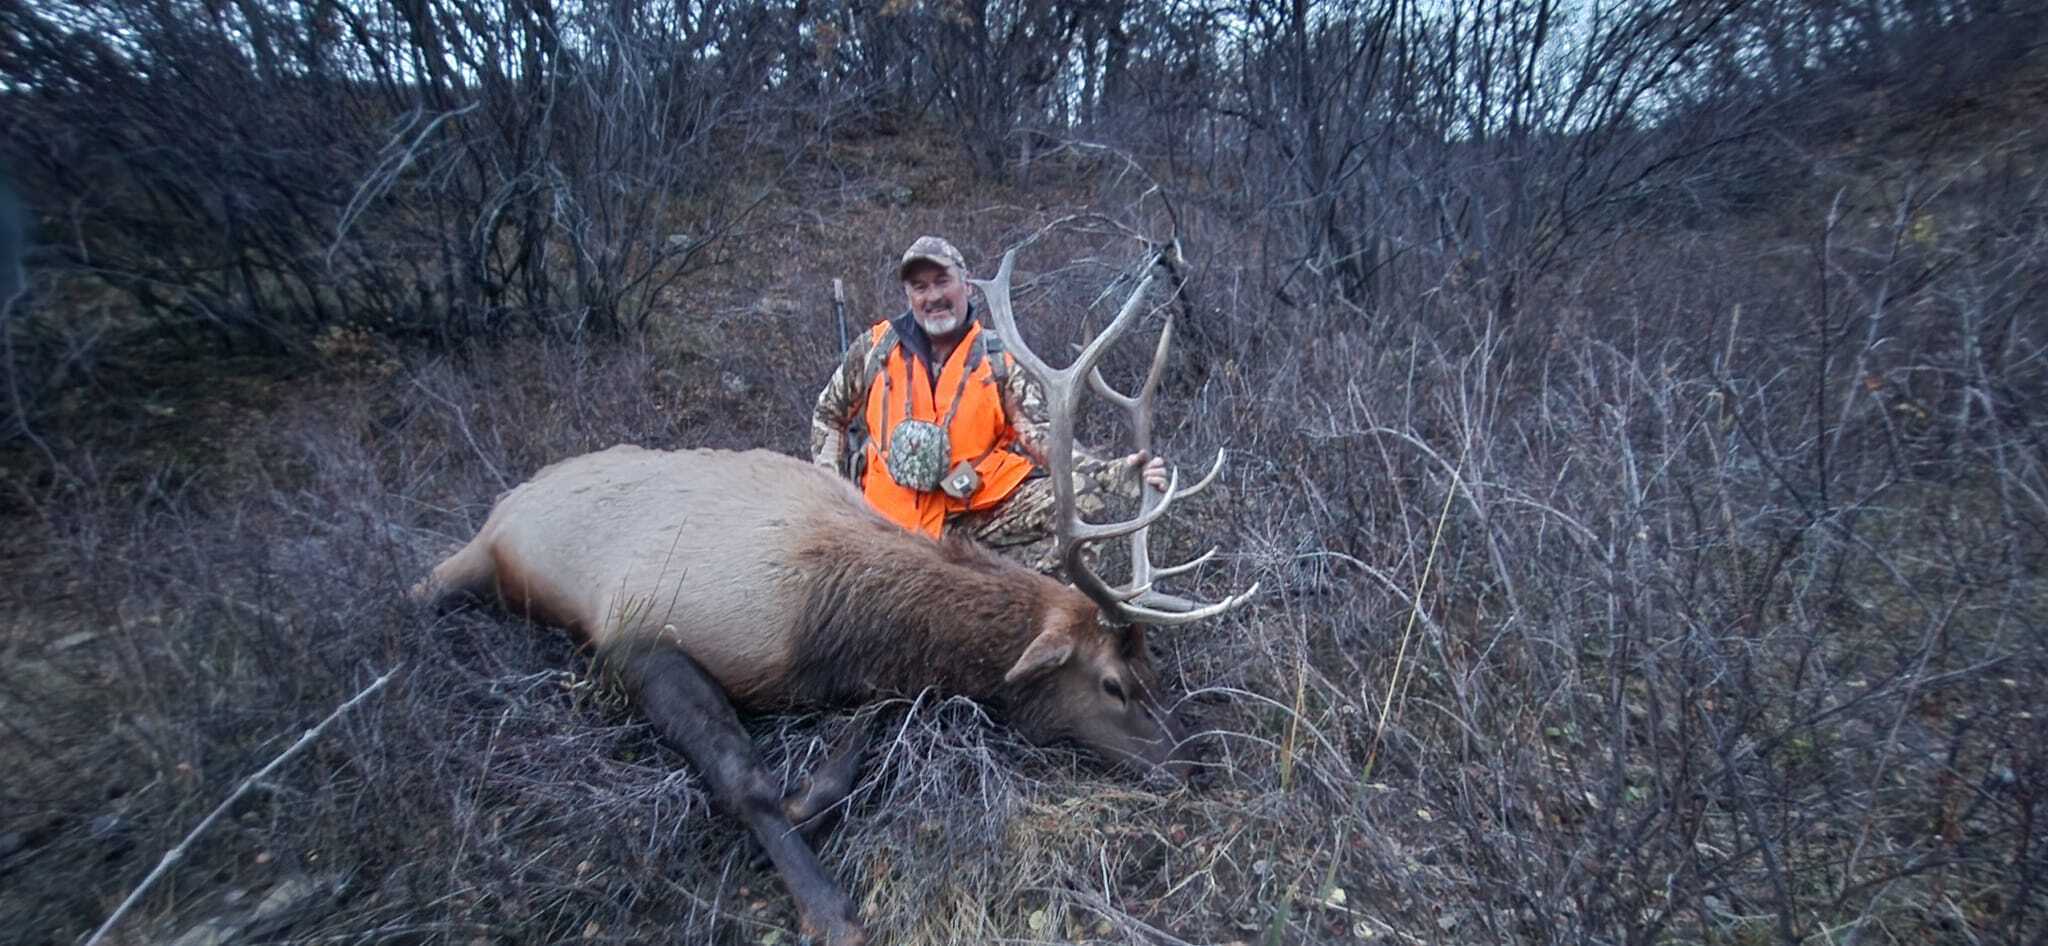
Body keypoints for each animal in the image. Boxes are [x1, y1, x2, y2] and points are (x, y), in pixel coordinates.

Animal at [410, 247, 1256, 946]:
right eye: (1113, 684)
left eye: (1155, 672)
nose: (1192, 763)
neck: (824, 624)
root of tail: (512, 494)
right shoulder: (640, 633)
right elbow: (746, 780)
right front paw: (828, 908)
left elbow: (868, 729)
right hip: (475, 558)